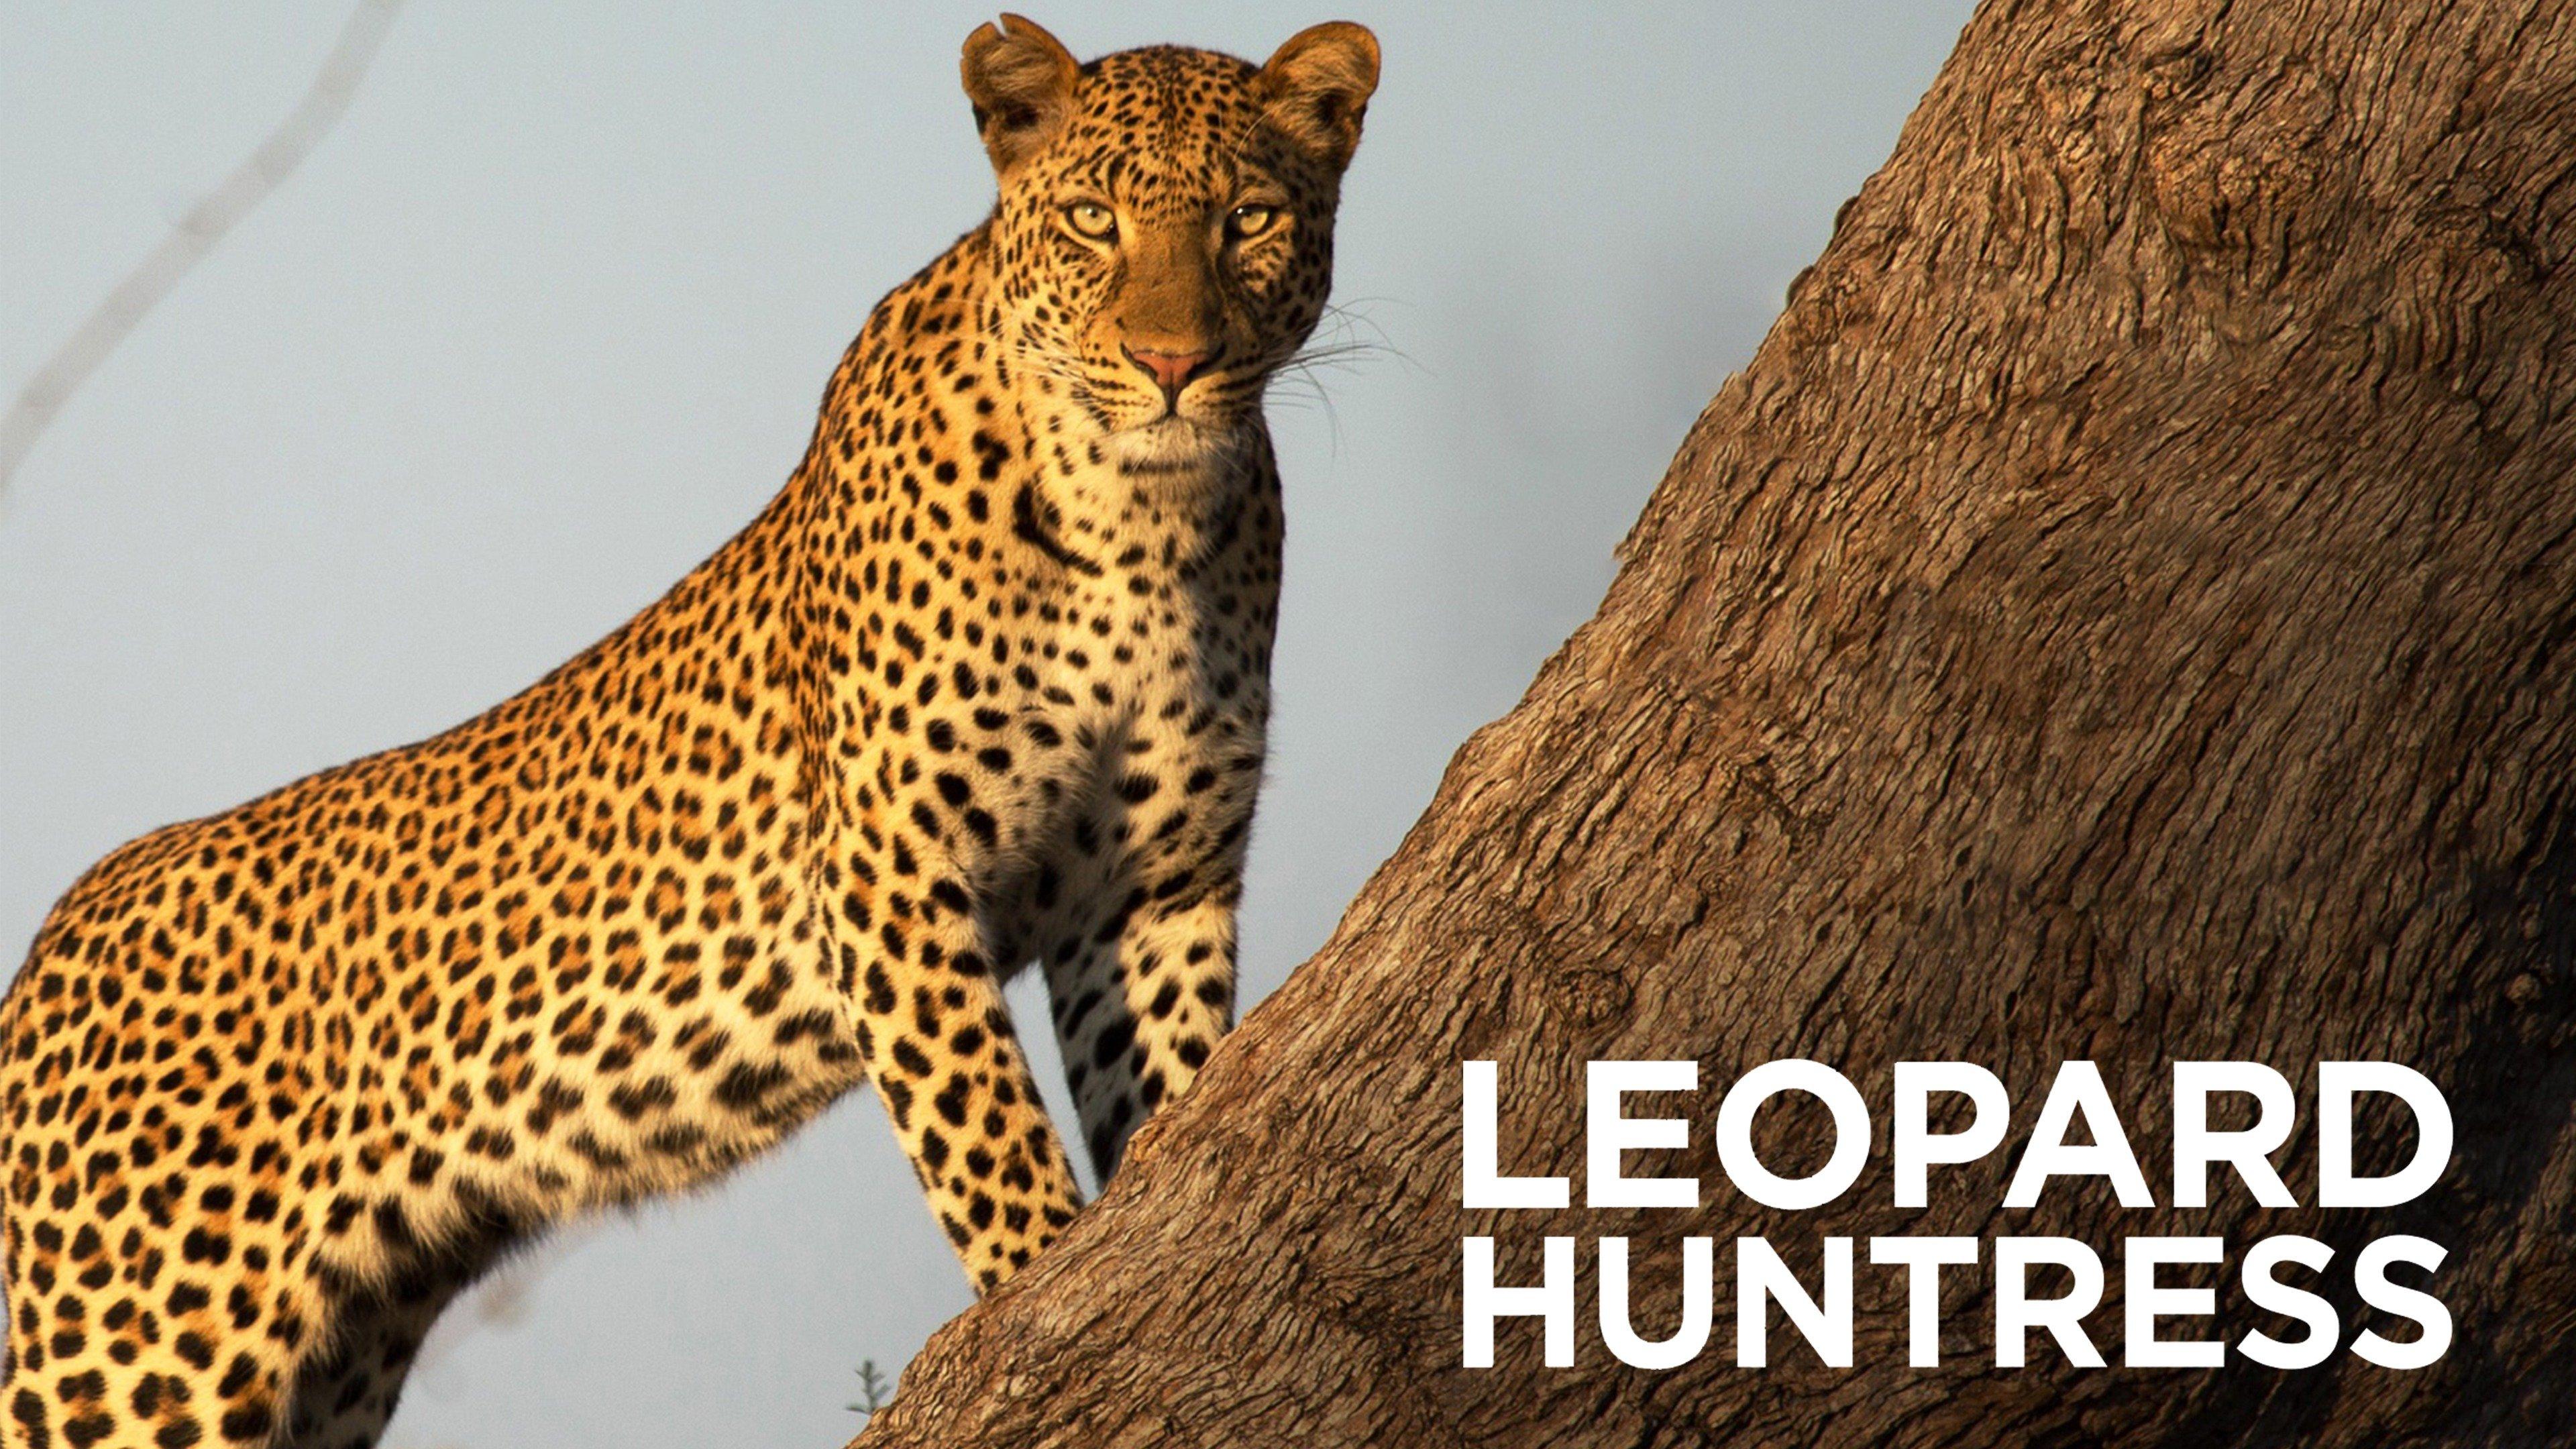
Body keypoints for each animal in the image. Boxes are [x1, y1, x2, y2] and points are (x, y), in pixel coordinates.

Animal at [0, 16, 1377, 1447]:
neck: (1138, 521)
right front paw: (1039, 1289)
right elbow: (989, 1144)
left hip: (341, 1352)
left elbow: (1171, 1090)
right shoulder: (893, 878)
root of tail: (46, 955)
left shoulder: (1155, 889)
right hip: (139, 1347)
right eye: (1094, 222)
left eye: (1251, 218)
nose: (1173, 367)